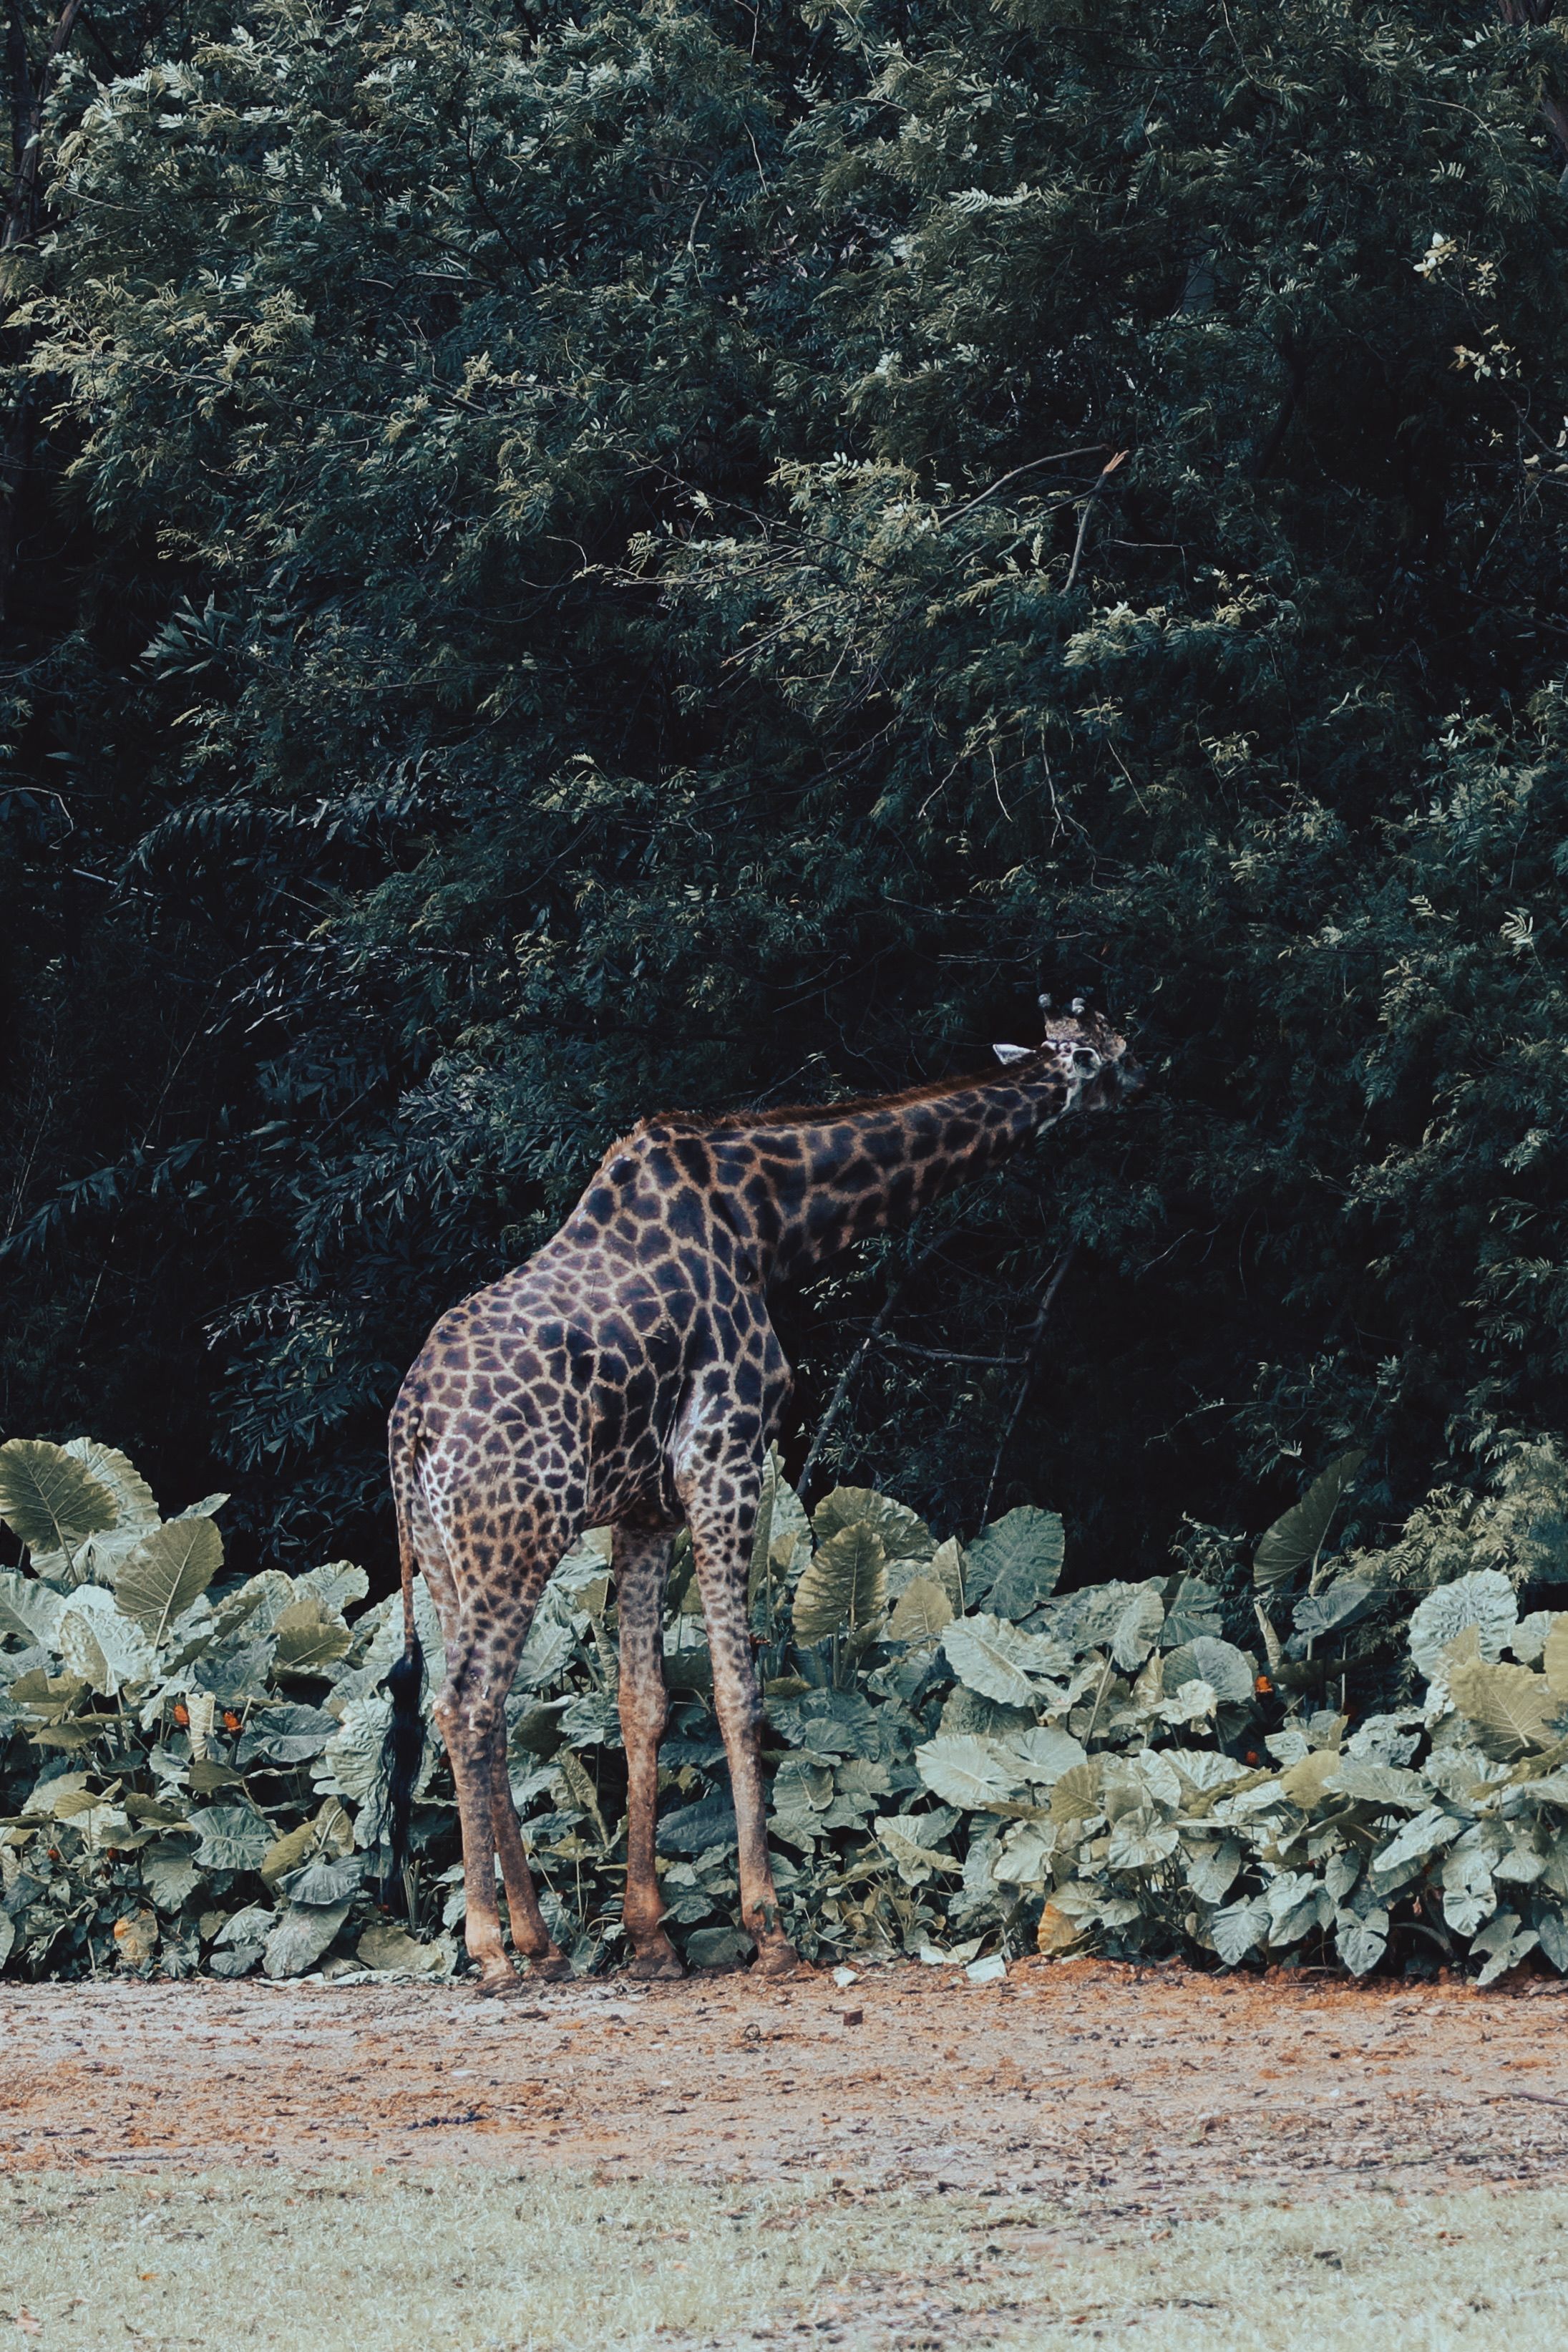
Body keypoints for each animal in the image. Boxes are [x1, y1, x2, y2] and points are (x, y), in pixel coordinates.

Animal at [383, 1005, 1140, 1992]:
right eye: (1101, 1053)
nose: (1143, 1080)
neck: (768, 1218)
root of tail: (409, 1428)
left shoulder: (645, 1508)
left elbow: (642, 1704)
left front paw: (651, 1940)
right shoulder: (727, 1458)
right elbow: (738, 1688)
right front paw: (769, 1928)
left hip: (447, 1557)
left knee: (484, 1711)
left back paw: (540, 1944)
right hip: (515, 1538)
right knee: (468, 1704)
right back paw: (492, 1949)